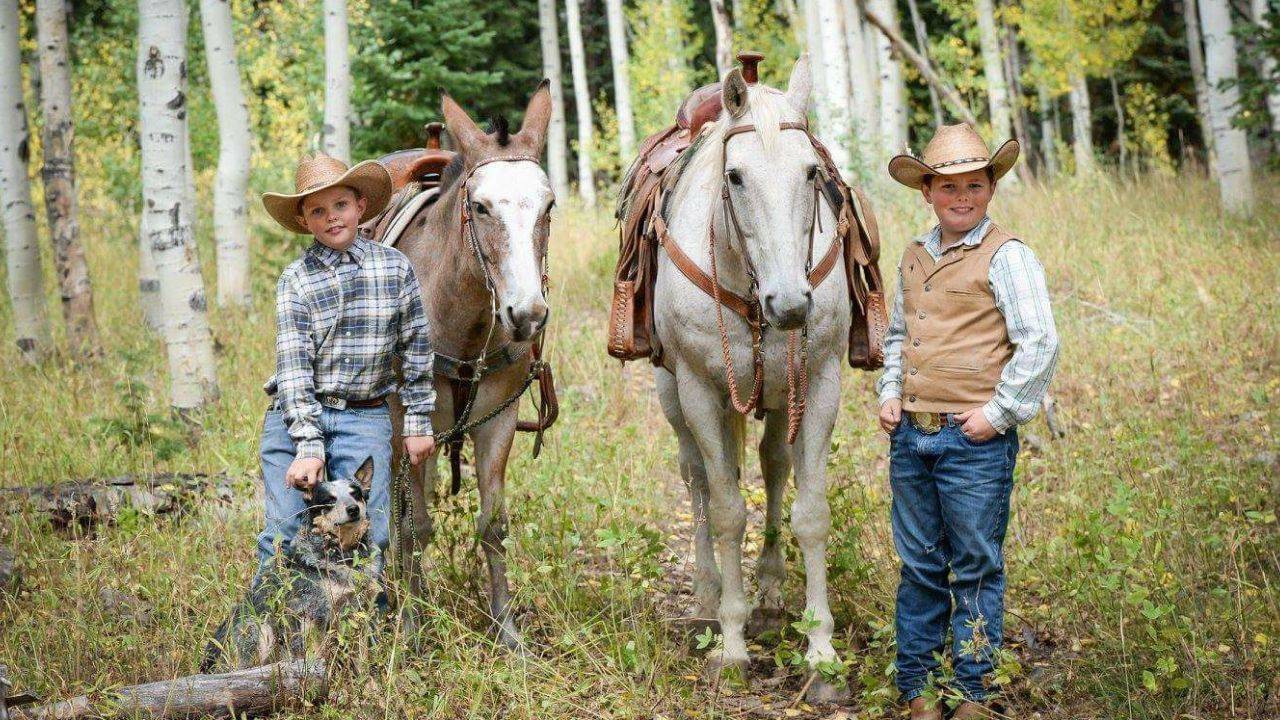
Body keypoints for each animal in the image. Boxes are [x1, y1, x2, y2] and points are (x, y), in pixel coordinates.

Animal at [387, 84, 554, 650]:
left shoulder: (497, 421)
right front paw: (413, 623)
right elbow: (413, 526)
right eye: (480, 207)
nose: (526, 315)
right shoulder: (405, 426)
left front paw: (506, 628)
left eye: (549, 206)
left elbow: (492, 525)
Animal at [651, 56, 851, 699]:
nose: (789, 304)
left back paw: (768, 595)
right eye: (735, 177)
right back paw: (709, 604)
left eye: (812, 172)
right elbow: (725, 511)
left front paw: (820, 652)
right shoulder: (699, 390)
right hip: (672, 394)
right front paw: (733, 645)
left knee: (772, 464)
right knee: (697, 479)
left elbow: (810, 514)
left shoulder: (819, 383)